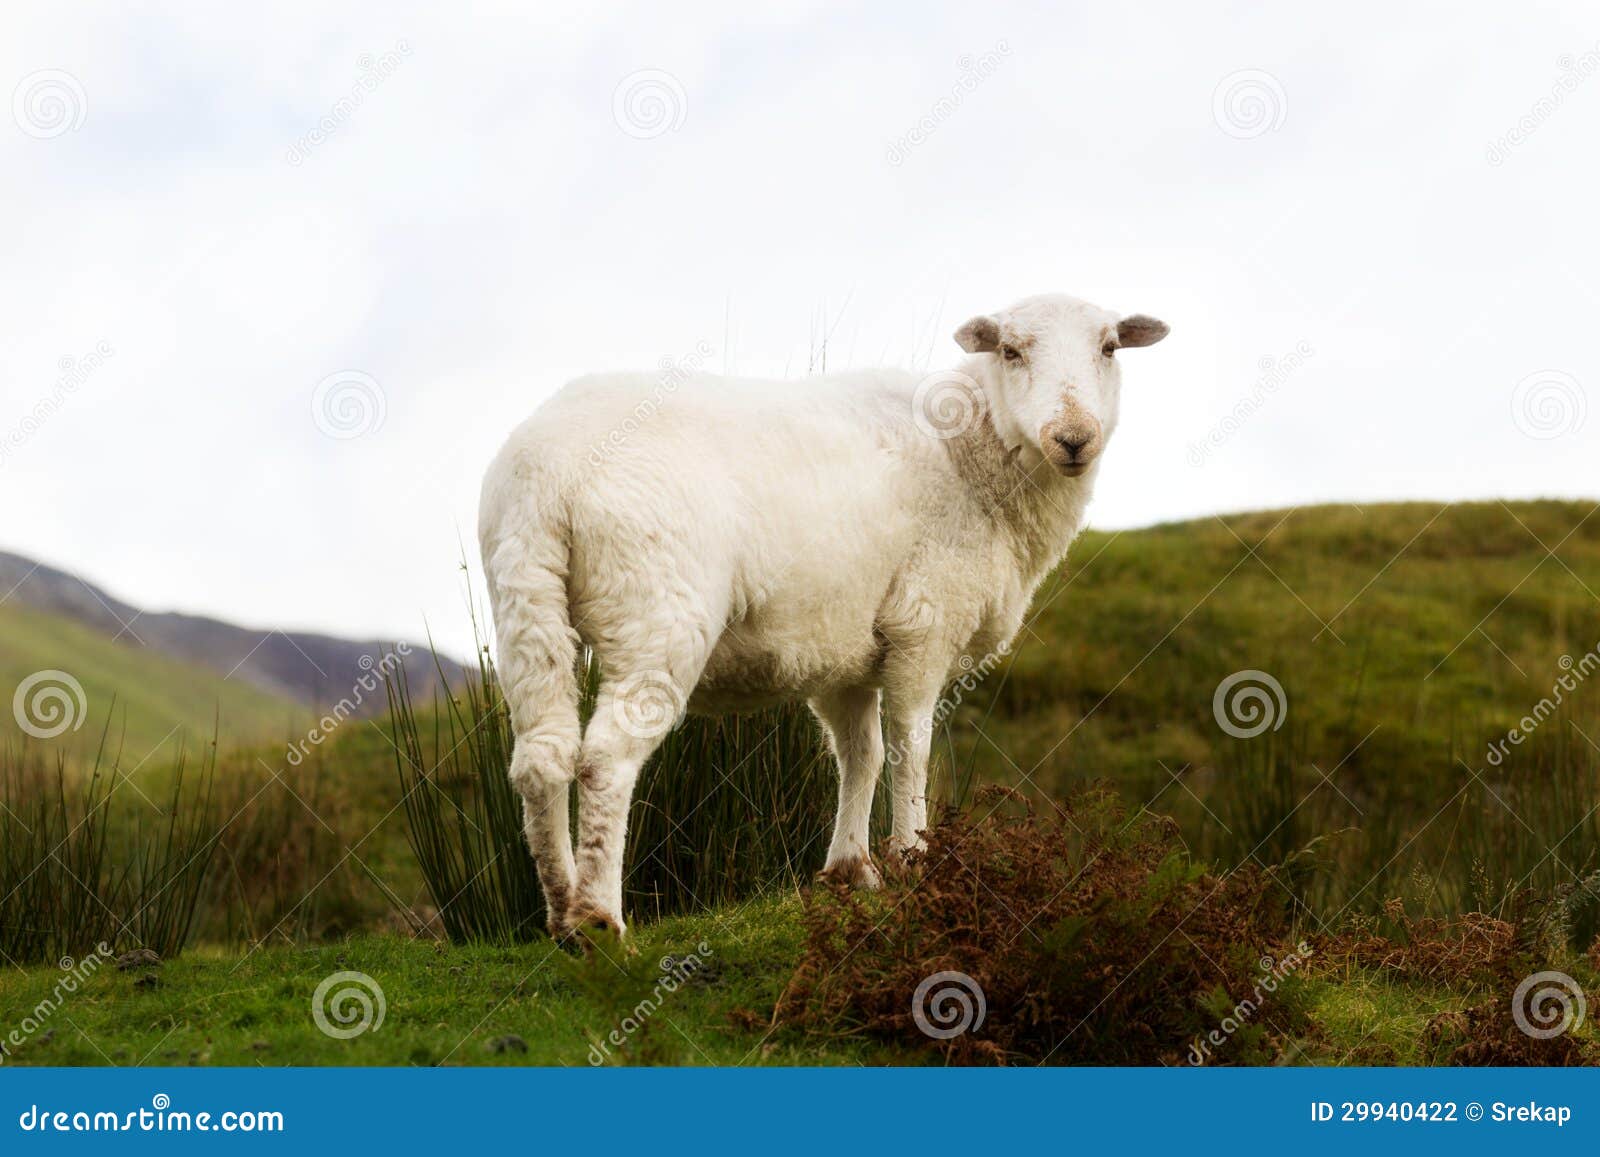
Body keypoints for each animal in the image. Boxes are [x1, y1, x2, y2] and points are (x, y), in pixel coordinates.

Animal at [478, 293, 1168, 937]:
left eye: (1109, 348)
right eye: (1011, 351)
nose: (1074, 438)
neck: (973, 455)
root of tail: (547, 472)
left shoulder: (847, 651)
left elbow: (860, 754)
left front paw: (850, 870)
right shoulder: (924, 622)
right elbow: (910, 746)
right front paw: (913, 859)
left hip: (522, 599)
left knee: (540, 757)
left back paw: (561, 913)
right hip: (654, 607)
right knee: (604, 758)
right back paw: (599, 921)